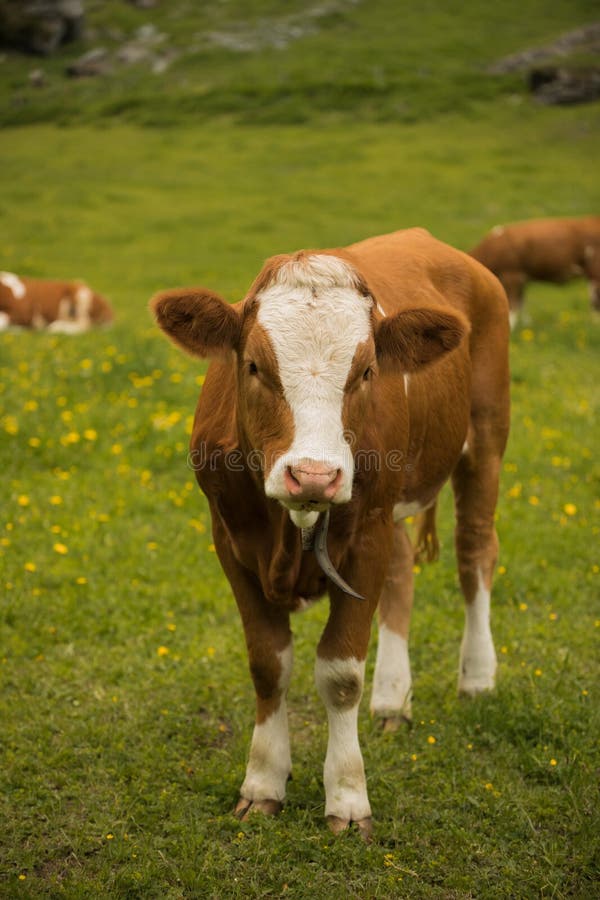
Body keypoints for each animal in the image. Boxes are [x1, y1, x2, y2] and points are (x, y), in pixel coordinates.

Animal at [151, 228, 510, 840]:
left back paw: (477, 677)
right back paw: (392, 700)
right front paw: (262, 783)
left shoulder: (366, 532)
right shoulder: (229, 540)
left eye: (366, 372)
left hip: (484, 438)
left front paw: (346, 796)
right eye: (254, 365)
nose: (315, 475)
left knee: (475, 551)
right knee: (403, 574)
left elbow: (341, 672)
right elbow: (268, 663)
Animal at [469, 215, 600, 328]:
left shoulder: (511, 276)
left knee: (594, 301)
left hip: (594, 273)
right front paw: (527, 323)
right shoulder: (521, 279)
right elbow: (521, 303)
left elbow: (513, 306)